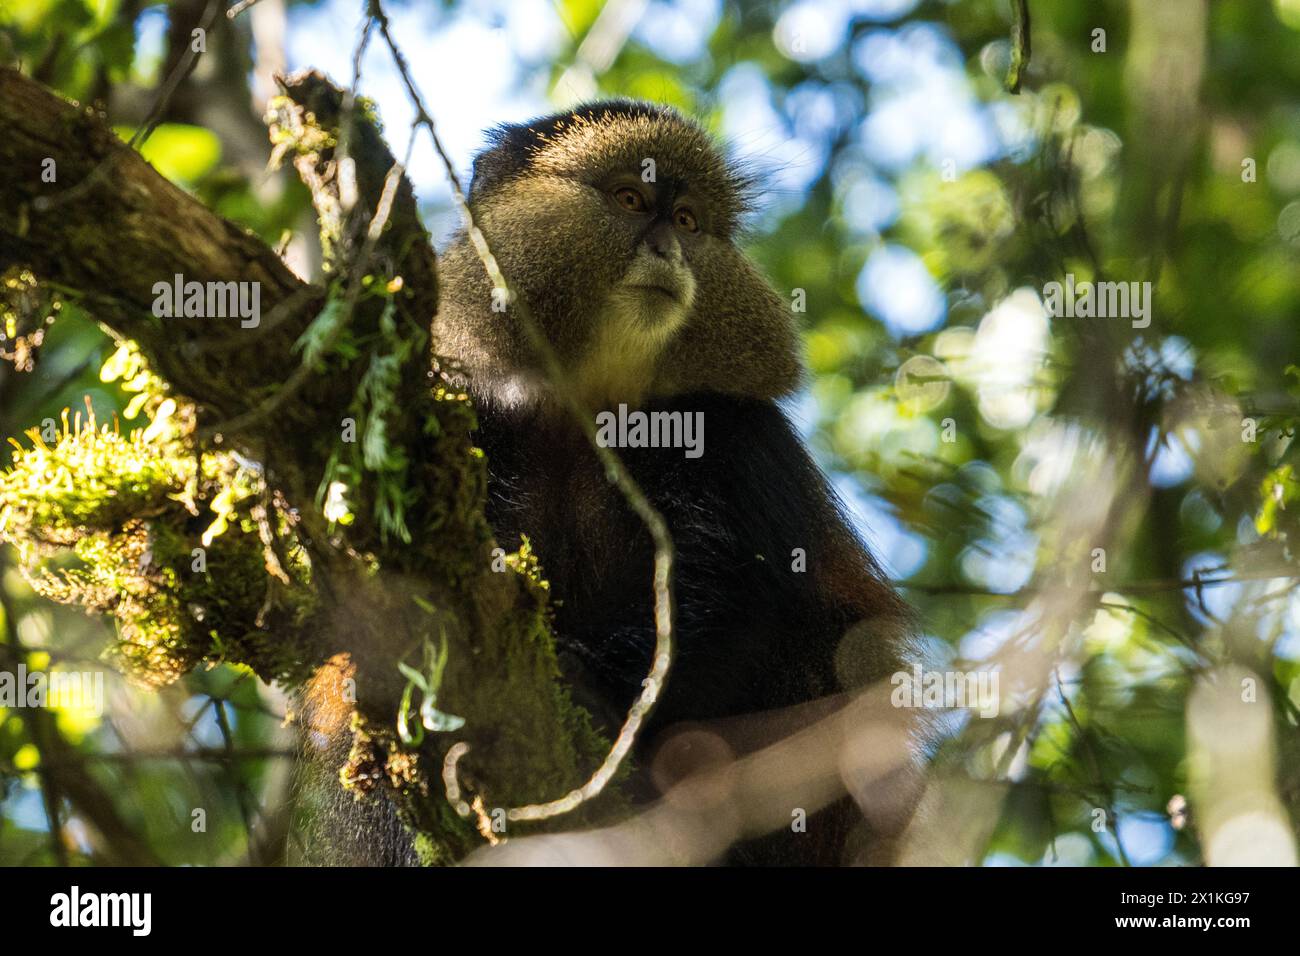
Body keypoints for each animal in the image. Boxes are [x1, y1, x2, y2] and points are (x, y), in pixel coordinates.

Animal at [304, 100, 921, 866]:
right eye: (630, 201)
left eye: (686, 220)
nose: (670, 252)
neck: (585, 397)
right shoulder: (474, 412)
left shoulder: (734, 430)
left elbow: (745, 597)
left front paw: (591, 680)